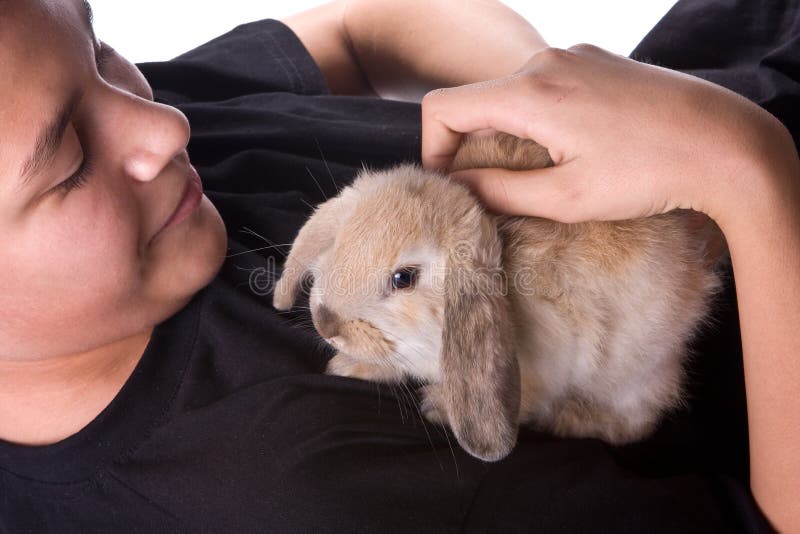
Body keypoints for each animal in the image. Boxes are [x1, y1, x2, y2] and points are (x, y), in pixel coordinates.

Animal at [272, 132, 726, 462]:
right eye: (340, 240)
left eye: (403, 278)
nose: (325, 324)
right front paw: (346, 366)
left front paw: (438, 407)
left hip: (633, 372)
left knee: (634, 422)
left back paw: (570, 420)